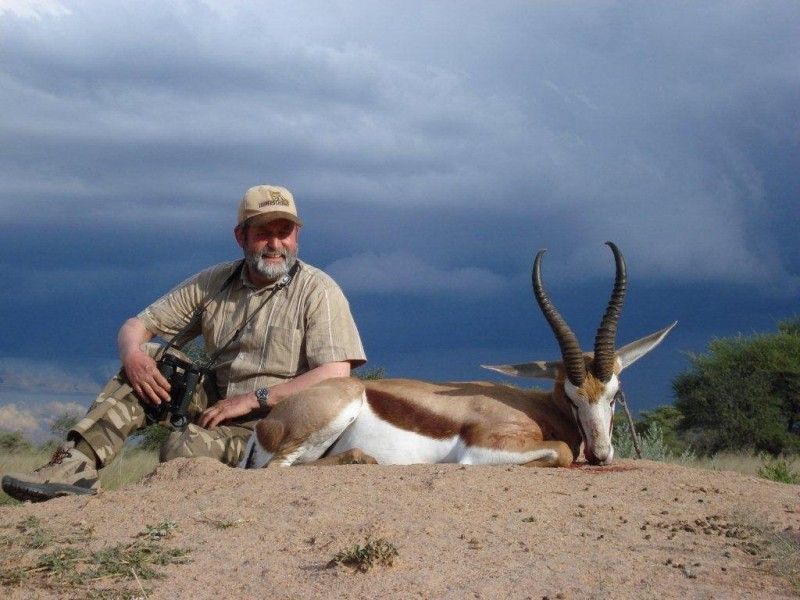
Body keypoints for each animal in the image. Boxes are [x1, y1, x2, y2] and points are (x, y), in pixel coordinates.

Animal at [240, 242, 676, 469]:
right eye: (571, 396)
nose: (601, 455)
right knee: (282, 467)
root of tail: (265, 426)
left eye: (615, 394)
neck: (537, 408)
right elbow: (564, 452)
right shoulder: (485, 446)